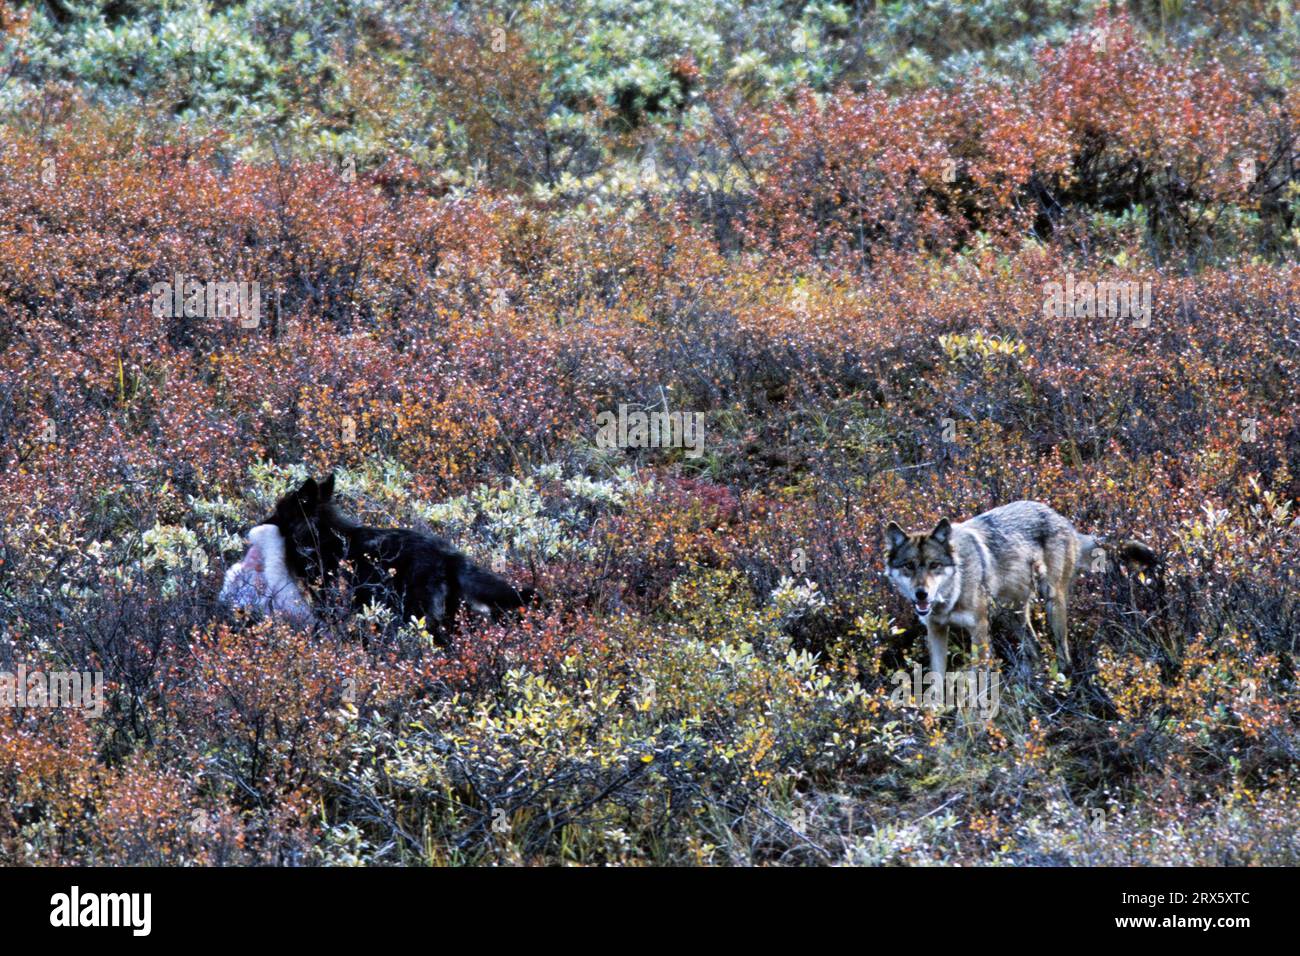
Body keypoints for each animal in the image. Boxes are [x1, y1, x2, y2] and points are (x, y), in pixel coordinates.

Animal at [884, 500, 1155, 681]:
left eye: (934, 565)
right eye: (909, 566)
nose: (921, 594)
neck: (951, 594)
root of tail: (1063, 520)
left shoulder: (979, 629)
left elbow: (977, 678)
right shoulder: (936, 630)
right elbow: (937, 677)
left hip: (1052, 605)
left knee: (1062, 654)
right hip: (1013, 615)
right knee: (1034, 651)